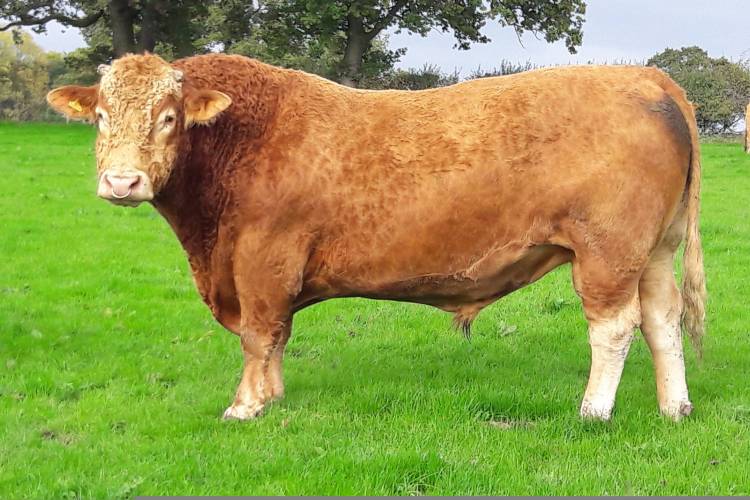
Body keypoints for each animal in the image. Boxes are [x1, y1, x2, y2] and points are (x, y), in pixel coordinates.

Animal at [47, 53, 706, 422]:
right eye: (100, 116)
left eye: (169, 117)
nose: (122, 181)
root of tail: (647, 78)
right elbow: (278, 337)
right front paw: (274, 396)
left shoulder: (261, 259)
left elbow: (260, 334)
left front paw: (245, 406)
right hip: (655, 250)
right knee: (663, 319)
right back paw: (675, 407)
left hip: (607, 251)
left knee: (615, 327)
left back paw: (593, 410)